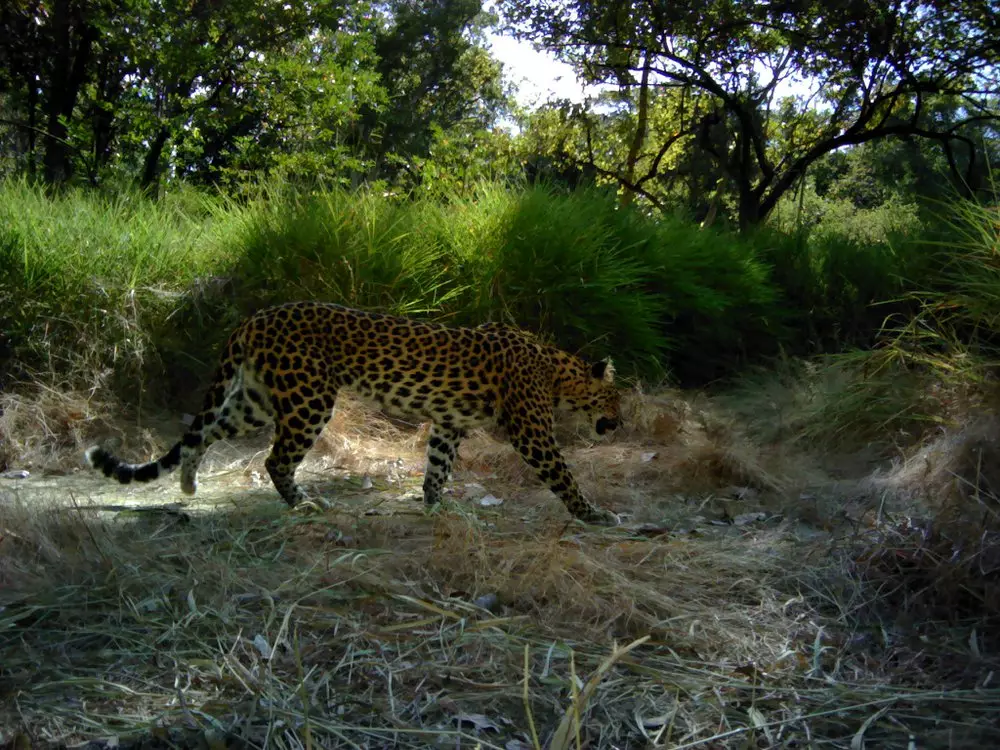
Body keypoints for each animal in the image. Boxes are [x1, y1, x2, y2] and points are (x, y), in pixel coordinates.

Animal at [86, 300, 620, 524]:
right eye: (614, 401)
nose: (619, 424)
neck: (556, 371)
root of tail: (256, 317)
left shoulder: (449, 424)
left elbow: (437, 467)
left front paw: (434, 506)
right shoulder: (532, 432)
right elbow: (563, 474)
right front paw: (593, 514)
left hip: (255, 401)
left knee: (205, 432)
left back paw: (189, 482)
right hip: (309, 399)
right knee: (275, 459)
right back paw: (303, 504)